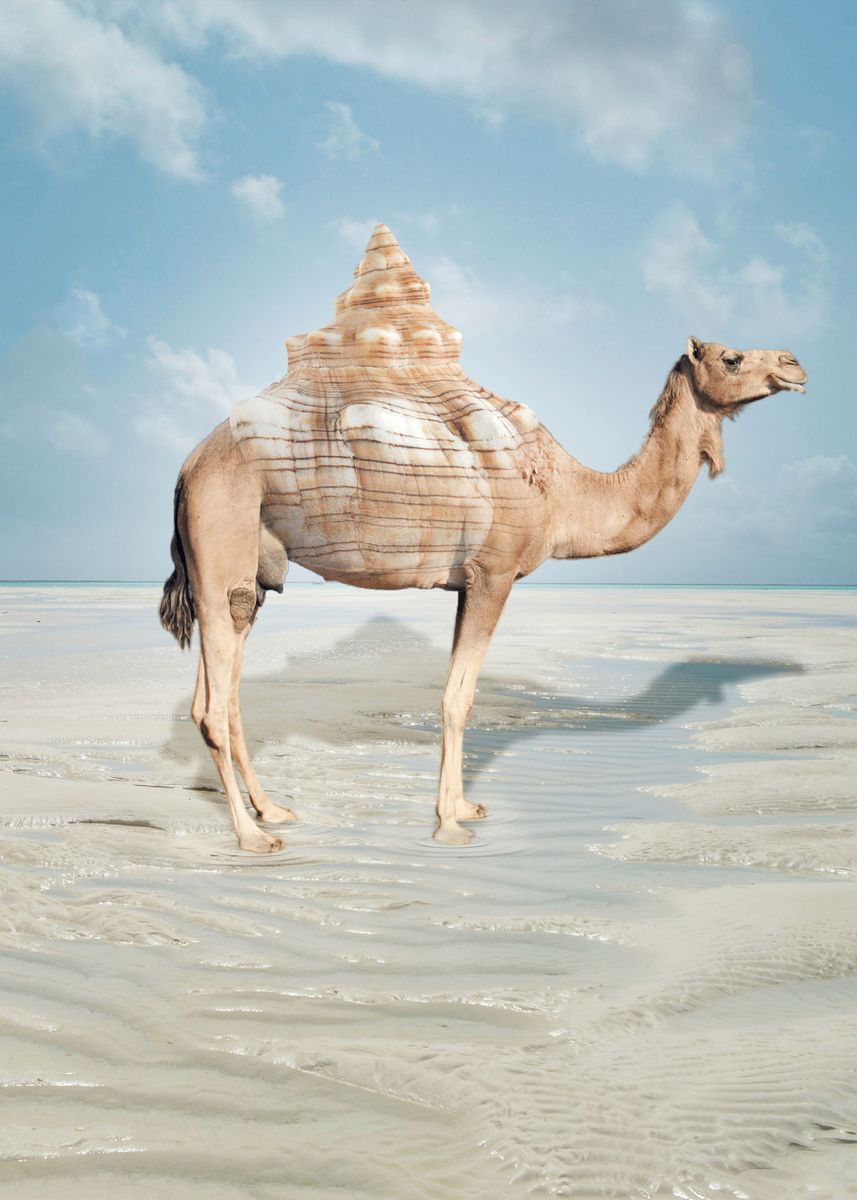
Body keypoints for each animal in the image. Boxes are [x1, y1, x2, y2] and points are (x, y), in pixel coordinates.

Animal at [160, 224, 807, 852]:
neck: (565, 491)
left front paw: (465, 806)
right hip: (224, 532)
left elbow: (456, 690)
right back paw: (252, 837)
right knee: (213, 703)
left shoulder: (465, 582)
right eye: (731, 357)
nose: (795, 363)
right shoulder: (493, 573)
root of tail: (188, 466)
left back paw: (274, 810)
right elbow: (459, 697)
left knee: (222, 691)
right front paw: (450, 824)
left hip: (248, 567)